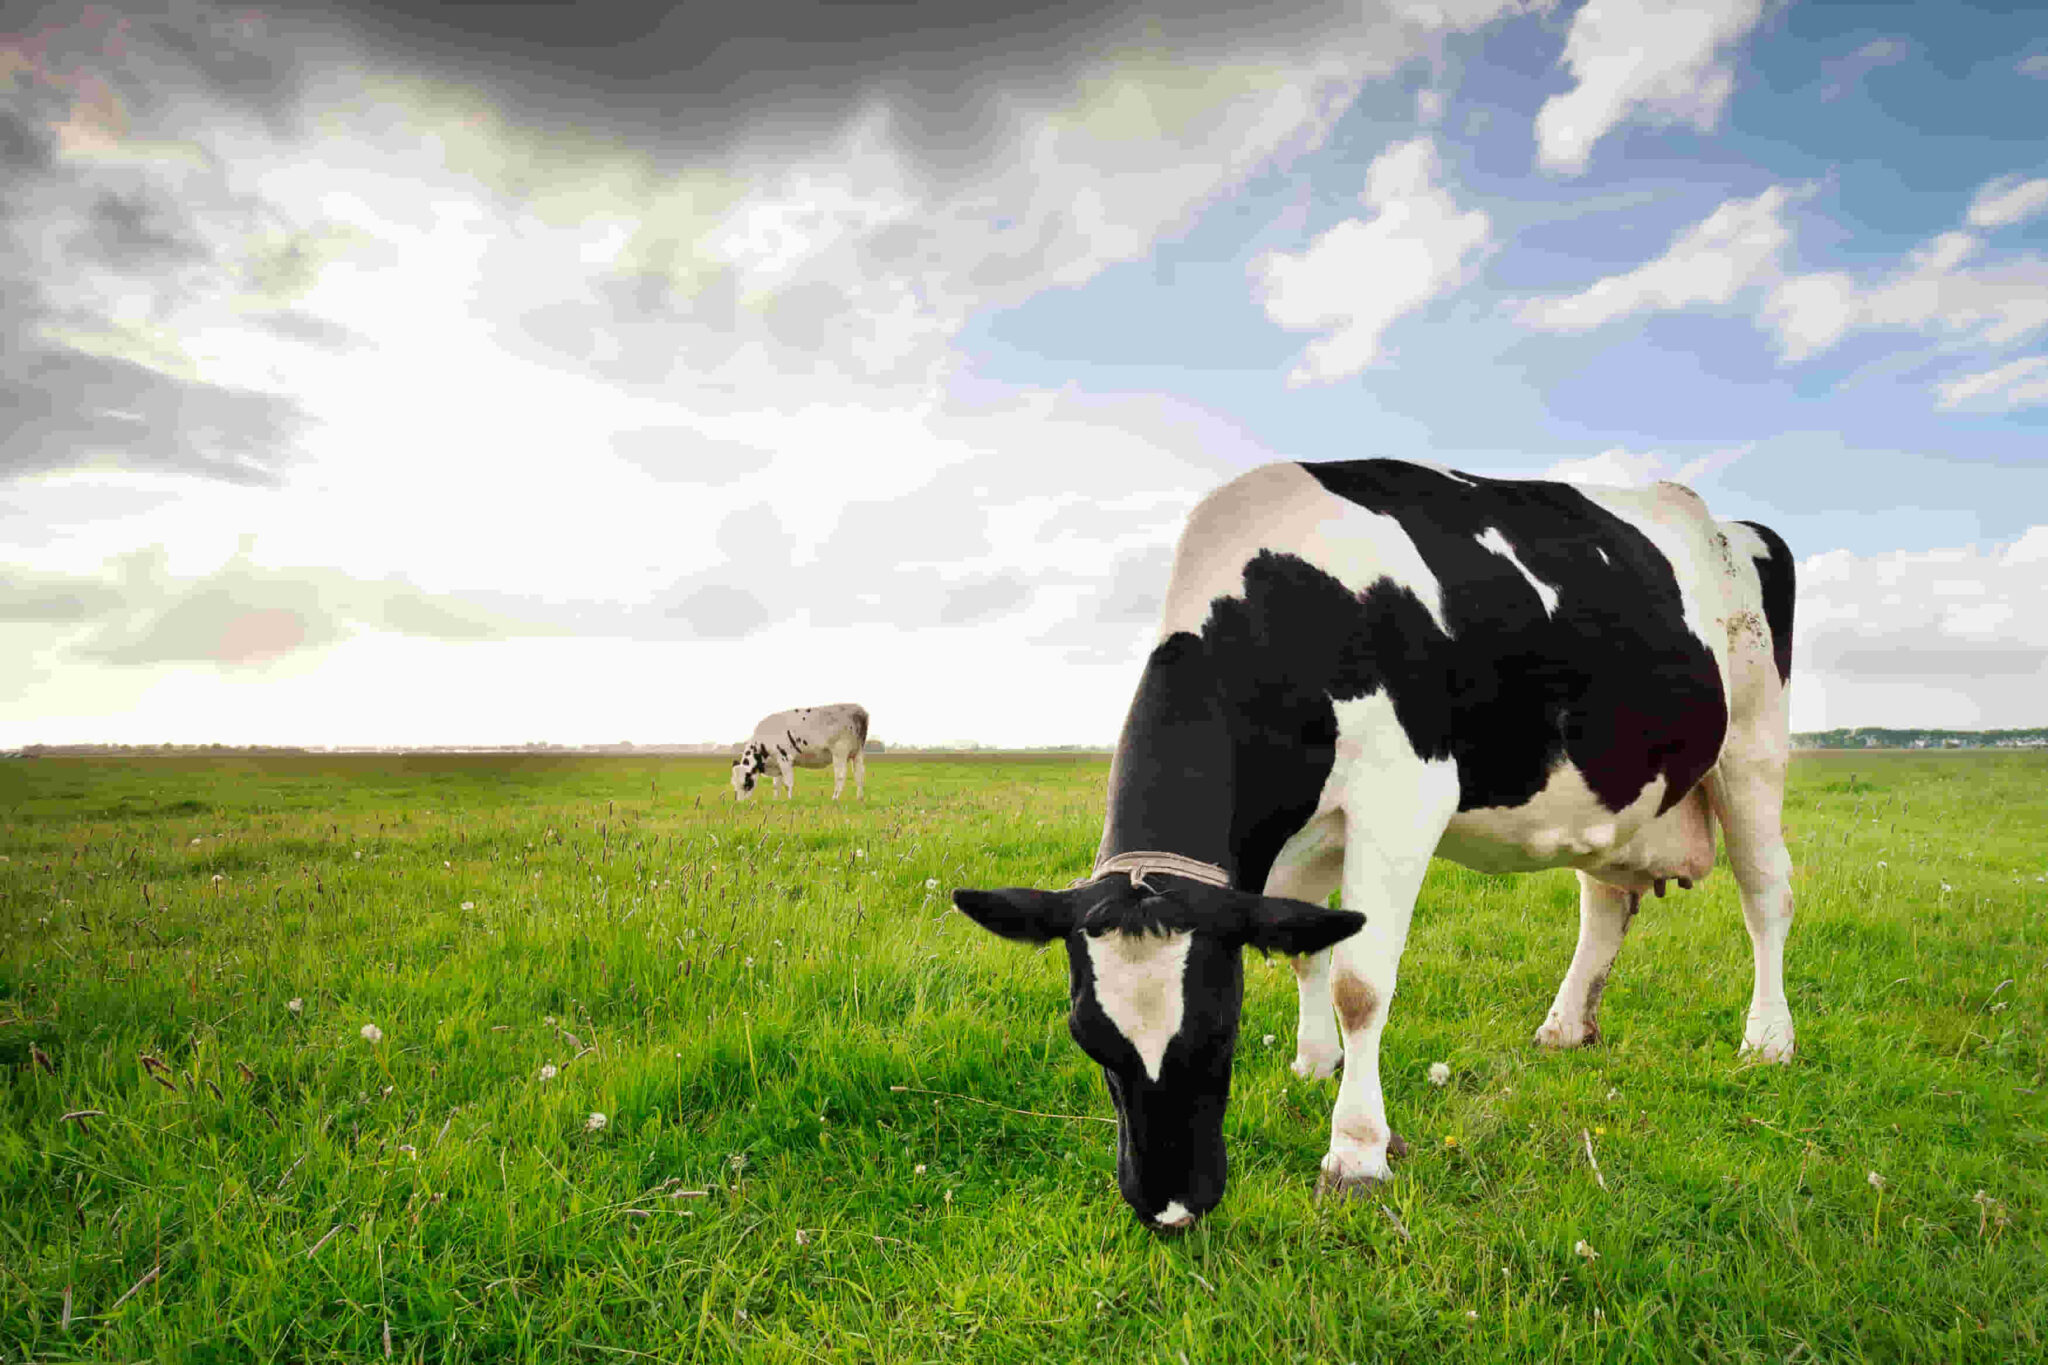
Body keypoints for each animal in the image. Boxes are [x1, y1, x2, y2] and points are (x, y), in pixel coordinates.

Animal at [732, 703, 870, 801]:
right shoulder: (777, 763)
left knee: (840, 775)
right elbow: (776, 784)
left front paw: (789, 799)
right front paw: (775, 799)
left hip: (839, 752)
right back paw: (860, 798)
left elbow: (787, 783)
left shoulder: (785, 758)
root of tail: (858, 710)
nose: (740, 803)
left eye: (746, 783)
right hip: (857, 752)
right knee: (860, 775)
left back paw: (835, 798)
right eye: (734, 784)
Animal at [953, 459, 1796, 1231]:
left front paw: (1356, 1152)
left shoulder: (1402, 797)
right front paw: (1312, 1062)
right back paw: (1565, 1027)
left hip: (1753, 747)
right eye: (1087, 1036)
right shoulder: (1302, 837)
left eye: (1220, 1029)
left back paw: (1768, 1039)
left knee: (1767, 895)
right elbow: (1306, 946)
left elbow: (1359, 982)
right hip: (1615, 791)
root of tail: (1728, 523)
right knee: (1605, 902)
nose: (1168, 1208)